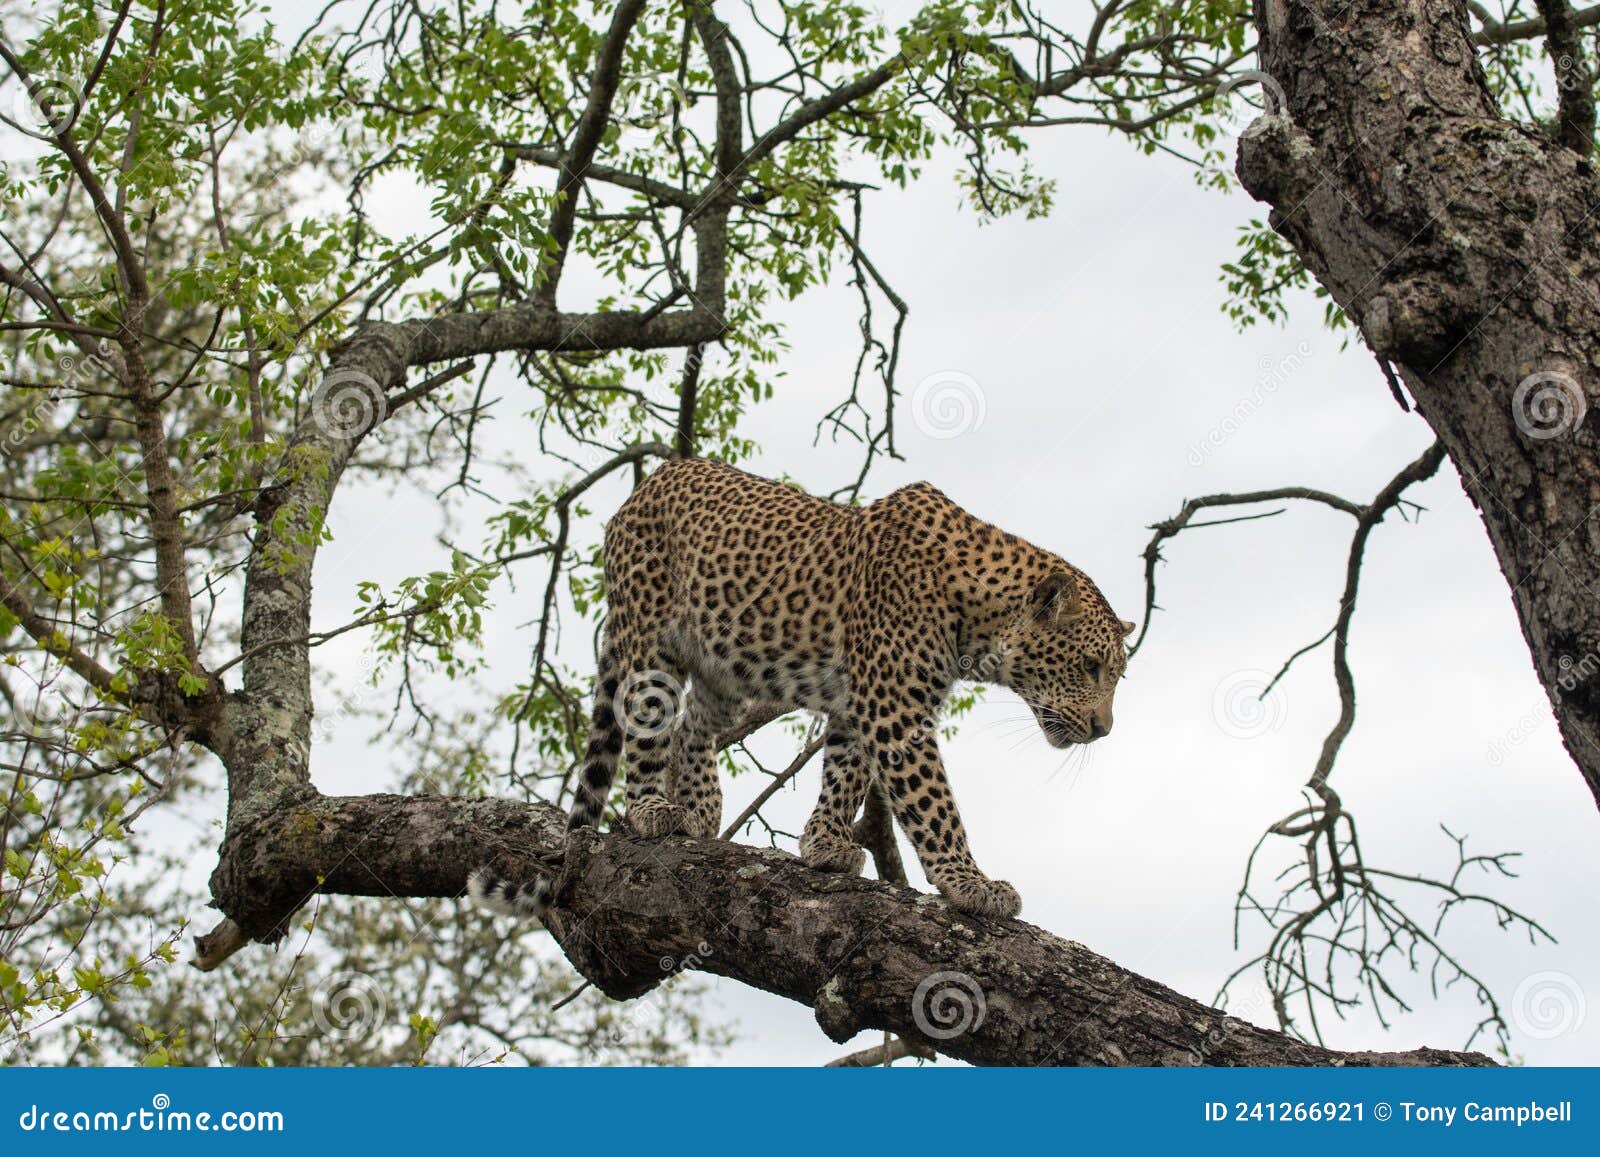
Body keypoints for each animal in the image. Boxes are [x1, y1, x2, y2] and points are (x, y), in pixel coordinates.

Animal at [468, 457, 1133, 920]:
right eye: (1092, 667)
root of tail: (647, 485)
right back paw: (654, 809)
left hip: (726, 667)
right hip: (650, 636)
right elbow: (933, 805)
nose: (1104, 729)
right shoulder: (895, 708)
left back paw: (700, 809)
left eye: (1114, 673)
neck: (979, 613)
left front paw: (823, 845)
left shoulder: (859, 700)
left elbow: (844, 772)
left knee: (693, 723)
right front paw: (972, 884)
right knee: (648, 718)